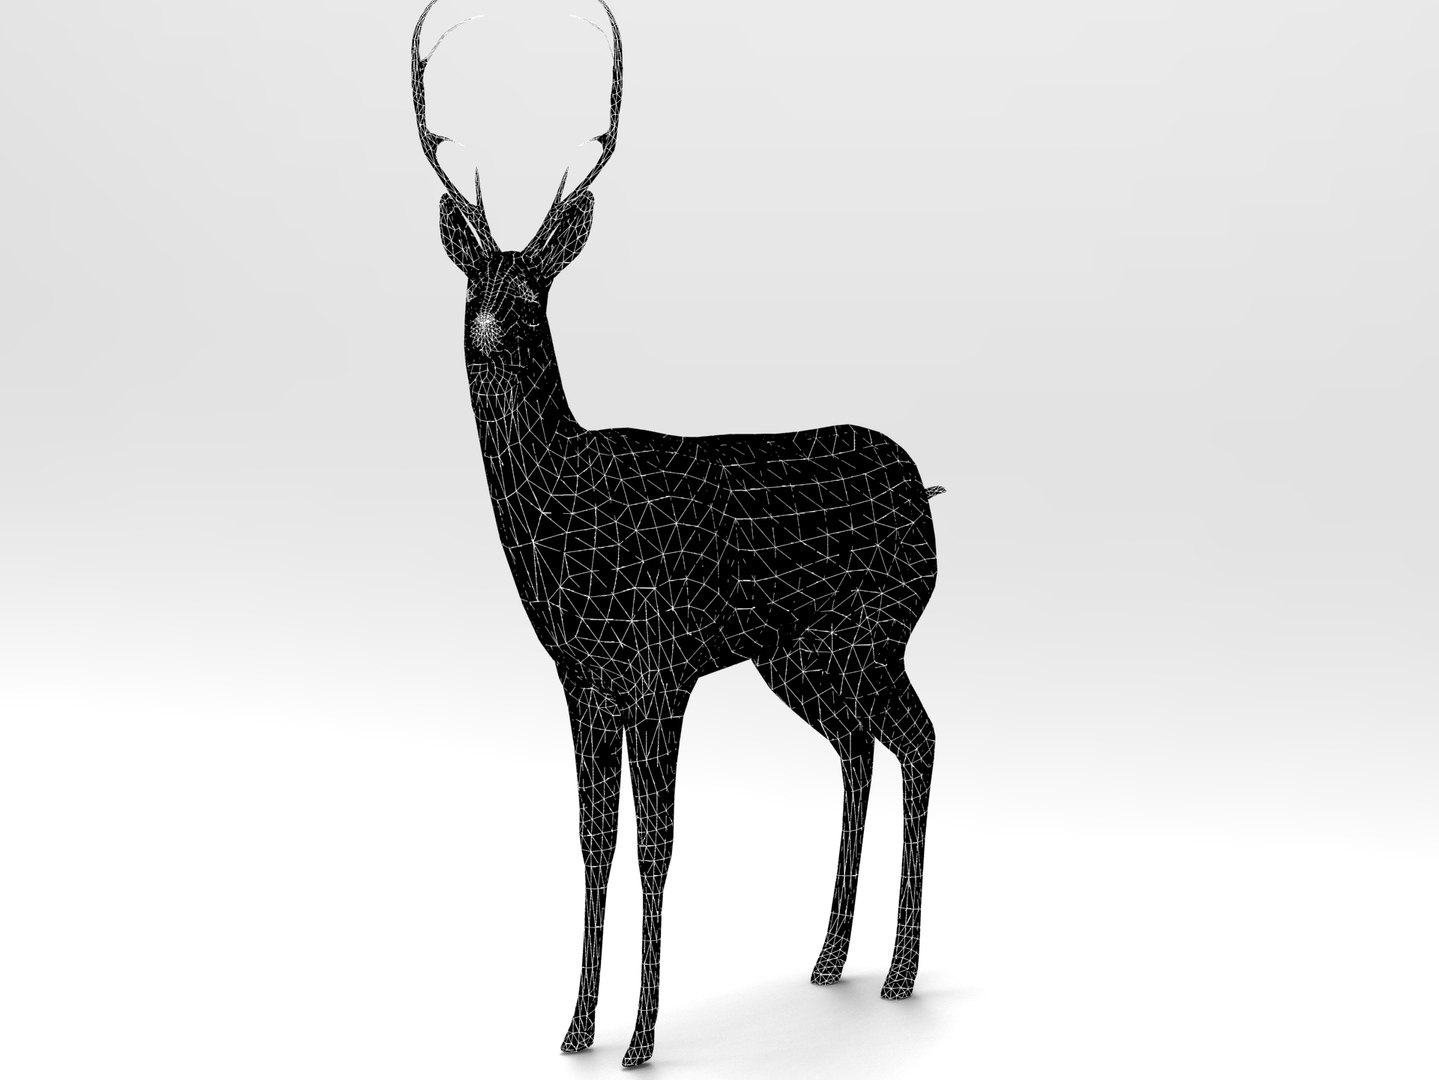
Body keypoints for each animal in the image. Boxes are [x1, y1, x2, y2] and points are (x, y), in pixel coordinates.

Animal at [410, 0, 942, 1067]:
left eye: (532, 296)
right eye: (470, 290)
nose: (484, 341)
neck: (568, 525)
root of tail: (928, 486)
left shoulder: (659, 666)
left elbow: (656, 848)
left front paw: (642, 1038)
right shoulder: (581, 680)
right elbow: (593, 843)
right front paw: (575, 1027)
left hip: (882, 624)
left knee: (921, 738)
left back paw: (901, 973)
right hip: (804, 654)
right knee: (859, 749)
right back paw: (830, 959)